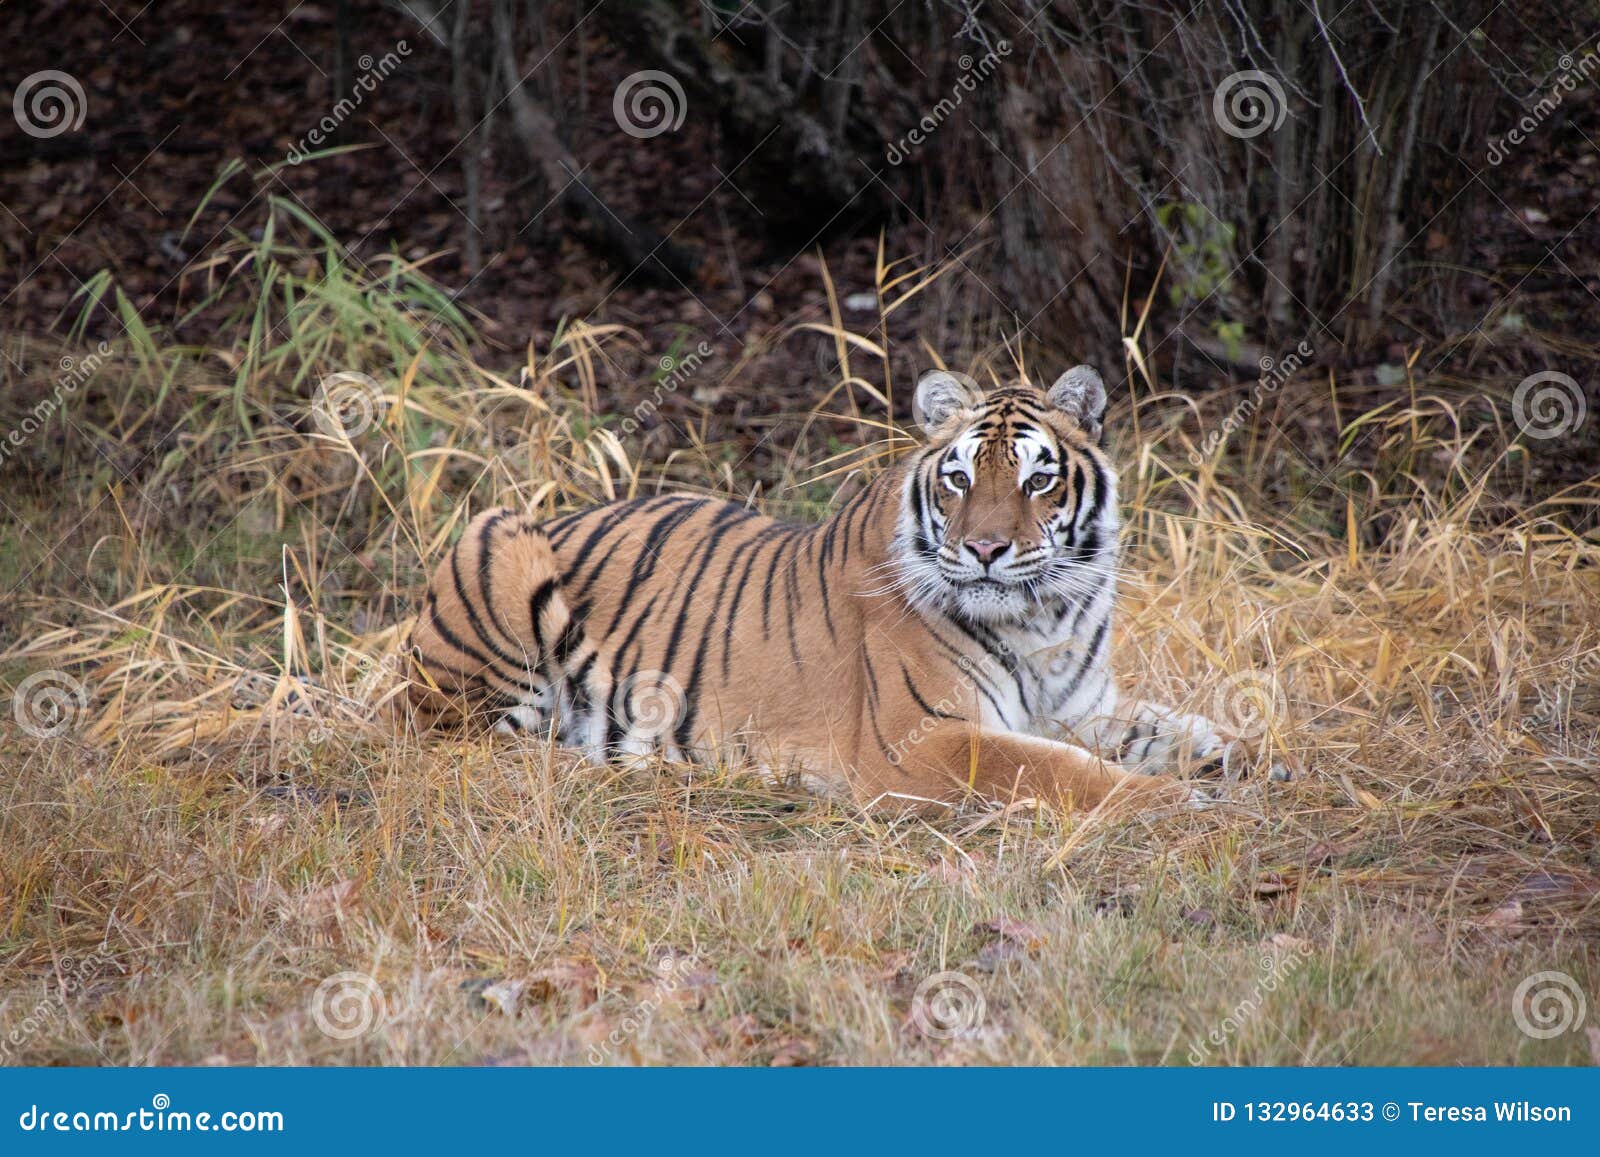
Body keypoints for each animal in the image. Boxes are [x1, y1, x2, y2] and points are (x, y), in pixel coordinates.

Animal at [404, 364, 1283, 813]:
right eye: (960, 477)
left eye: (1039, 478)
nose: (986, 549)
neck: (1045, 613)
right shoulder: (922, 741)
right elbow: (1059, 769)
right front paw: (1172, 802)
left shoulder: (1082, 704)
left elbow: (1176, 729)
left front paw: (1250, 758)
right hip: (496, 541)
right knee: (489, 747)